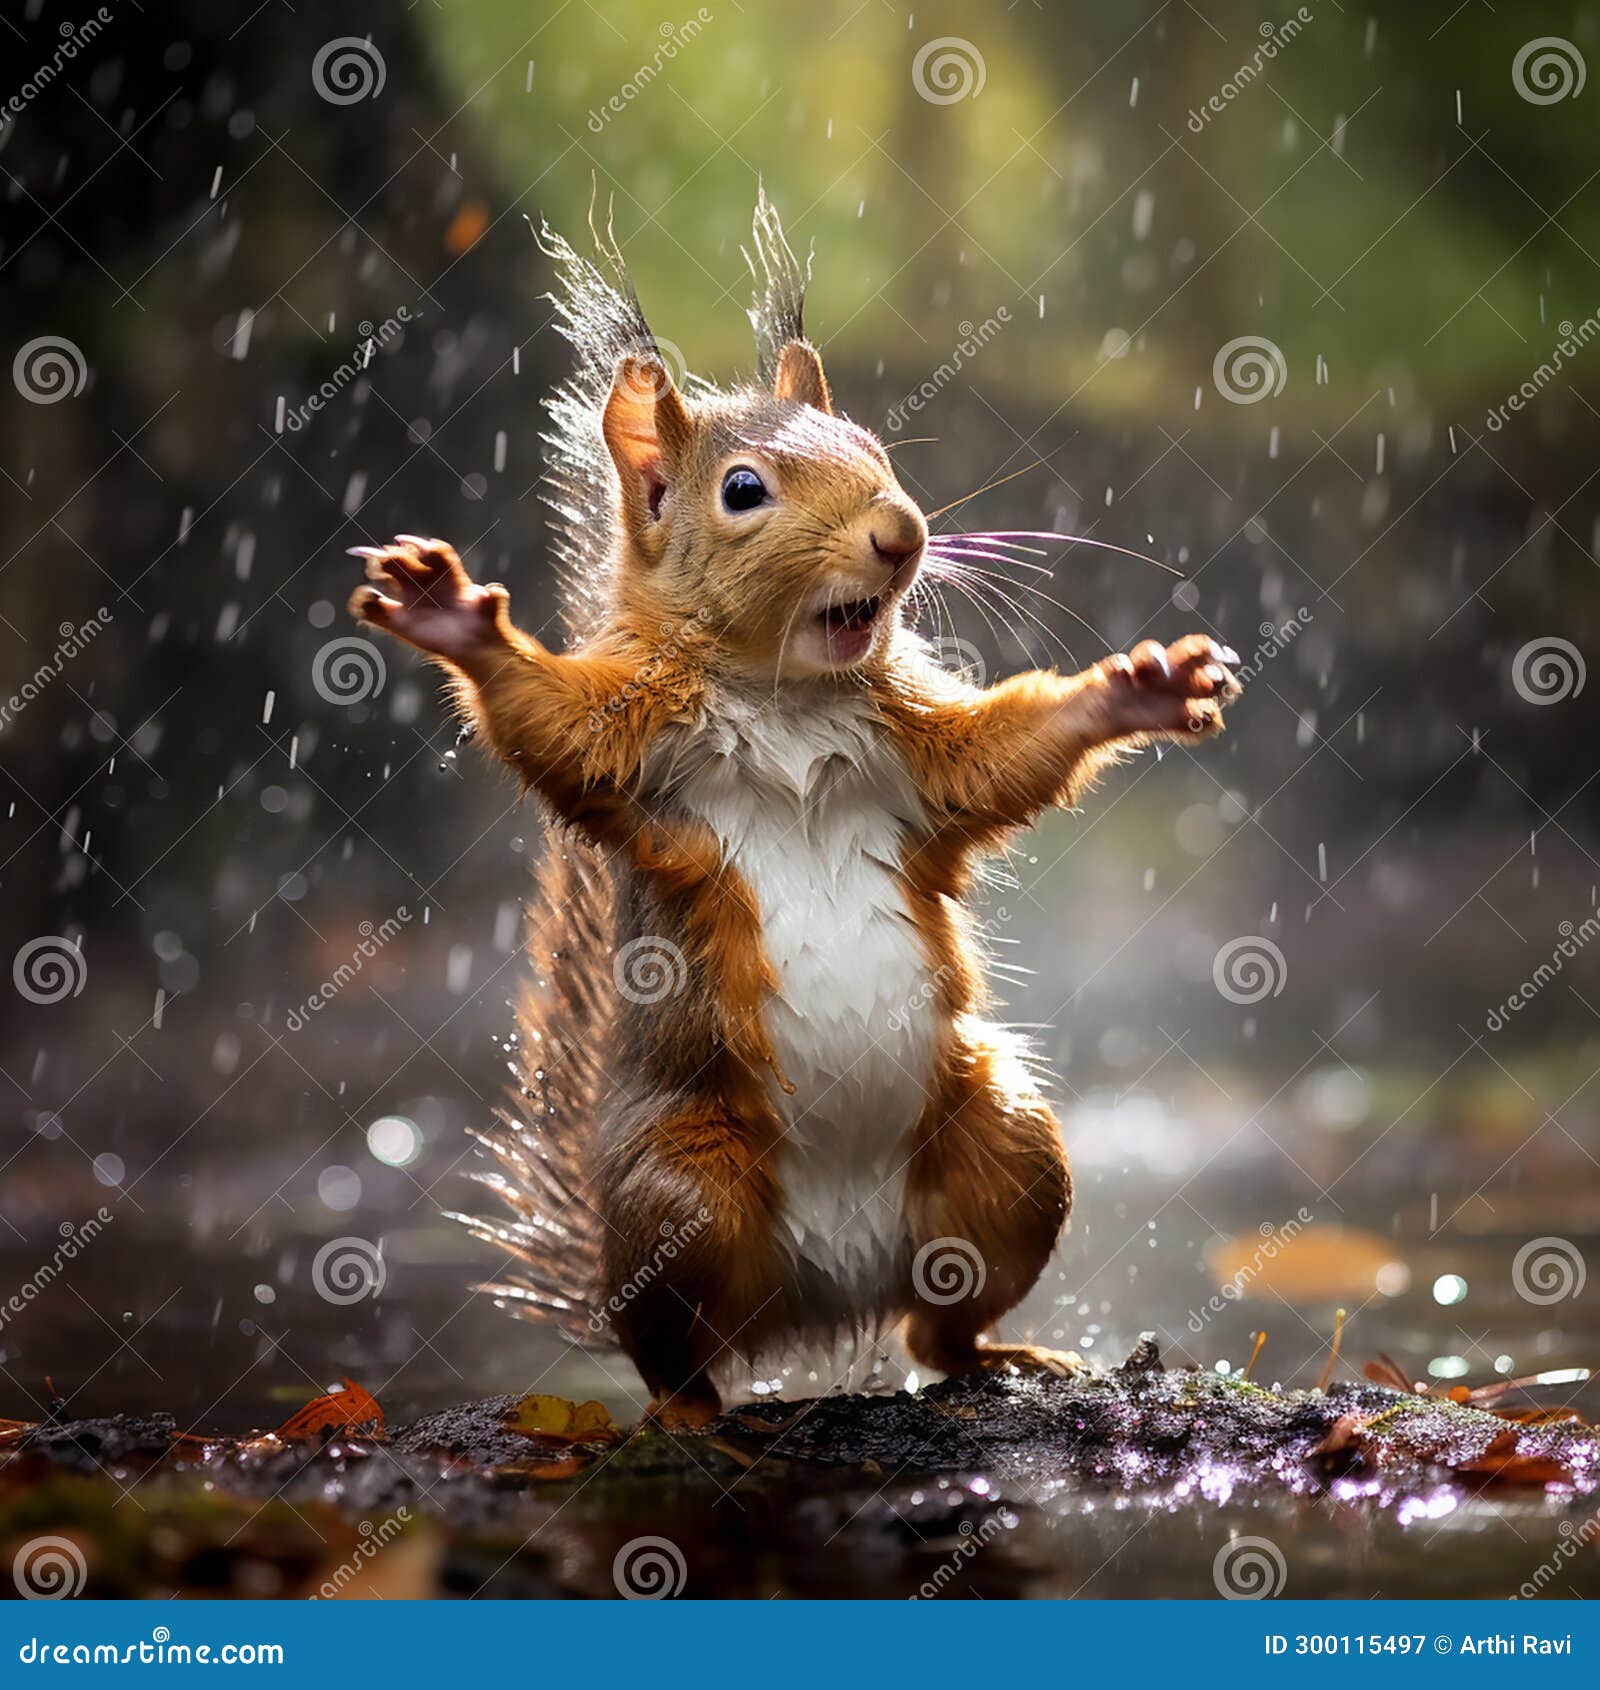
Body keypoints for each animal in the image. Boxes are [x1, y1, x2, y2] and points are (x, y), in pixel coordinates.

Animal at [347, 192, 1241, 1430]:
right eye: (741, 491)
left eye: (875, 450)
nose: (902, 532)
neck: (787, 702)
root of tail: (823, 1297)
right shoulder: (630, 750)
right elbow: (545, 724)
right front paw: (453, 620)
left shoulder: (915, 758)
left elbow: (1005, 754)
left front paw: (1141, 687)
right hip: (683, 1192)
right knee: (675, 1350)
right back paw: (691, 1414)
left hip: (1006, 1148)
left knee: (937, 1323)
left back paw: (1003, 1354)